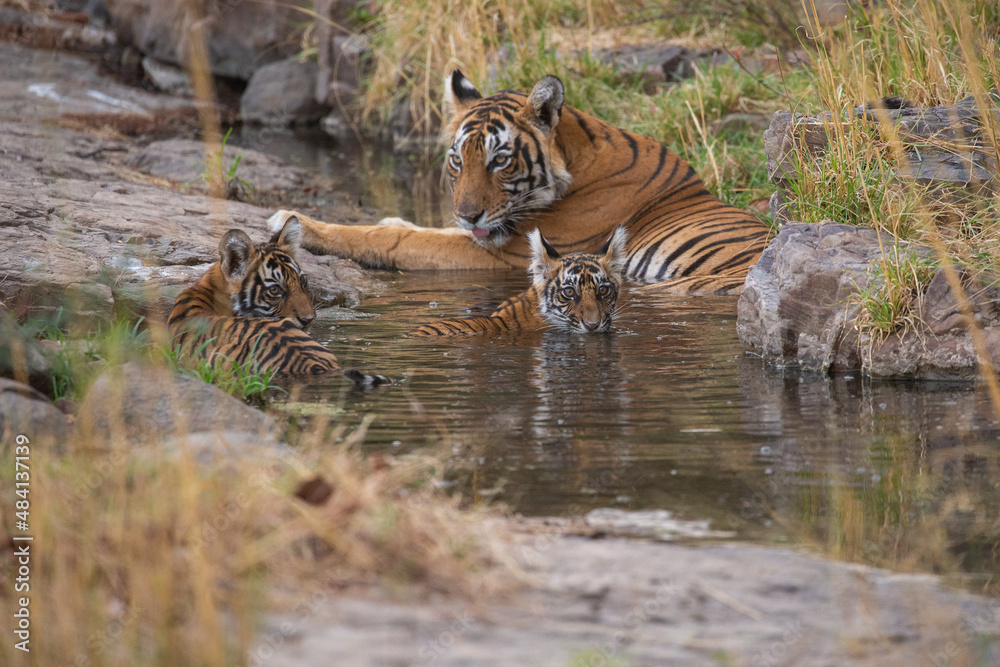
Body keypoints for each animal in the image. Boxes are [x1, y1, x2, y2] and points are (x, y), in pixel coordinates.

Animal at [267, 70, 770, 295]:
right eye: (457, 161)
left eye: (500, 161)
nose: (467, 215)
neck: (575, 157)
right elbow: (413, 227)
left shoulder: (502, 256)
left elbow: (393, 239)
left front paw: (295, 220)